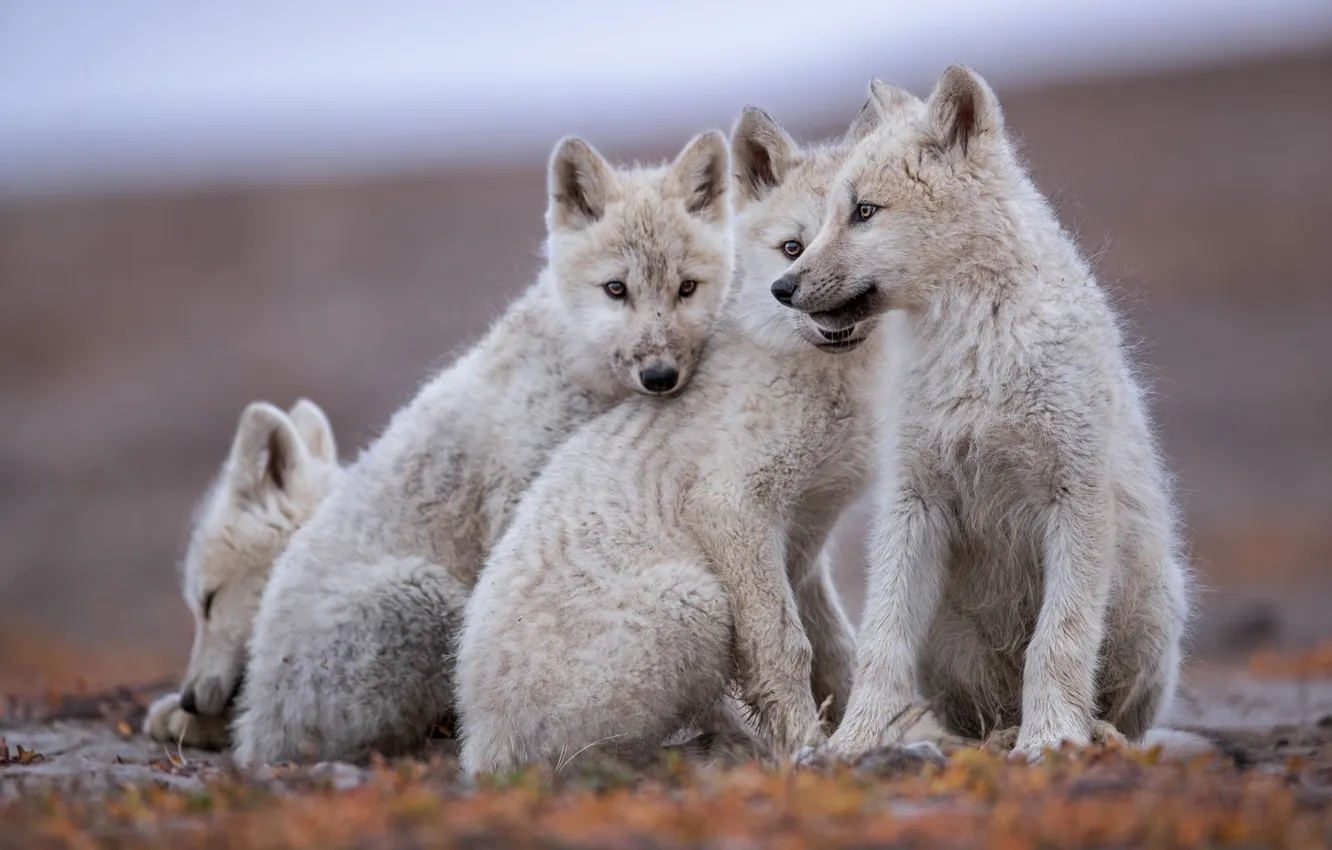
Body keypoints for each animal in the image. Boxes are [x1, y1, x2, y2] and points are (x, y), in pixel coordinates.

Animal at [231, 131, 736, 765]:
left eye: (686, 287)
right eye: (616, 290)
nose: (660, 376)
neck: (572, 369)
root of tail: (254, 722)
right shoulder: (516, 508)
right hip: (427, 595)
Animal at [455, 105, 892, 777]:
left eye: (860, 229)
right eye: (792, 248)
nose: (827, 316)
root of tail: (482, 740)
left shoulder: (805, 543)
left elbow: (837, 649)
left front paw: (859, 741)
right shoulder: (733, 507)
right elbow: (783, 647)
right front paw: (805, 748)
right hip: (696, 600)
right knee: (597, 760)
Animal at [772, 66, 1191, 760]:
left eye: (864, 212)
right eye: (832, 215)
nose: (783, 288)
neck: (975, 339)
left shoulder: (1075, 495)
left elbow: (1058, 640)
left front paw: (1052, 740)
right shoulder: (914, 499)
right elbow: (881, 641)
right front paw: (855, 745)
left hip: (1152, 602)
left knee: (1122, 712)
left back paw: (1087, 733)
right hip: (949, 646)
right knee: (981, 715)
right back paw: (996, 740)